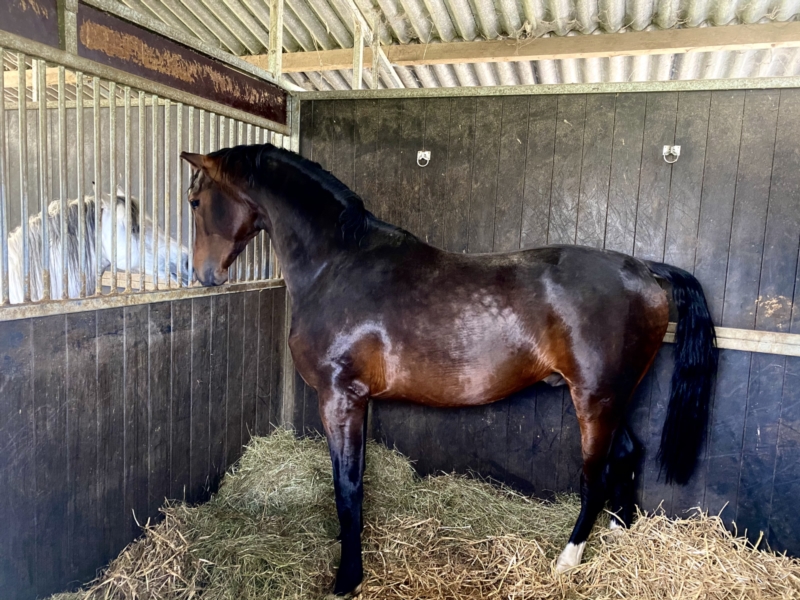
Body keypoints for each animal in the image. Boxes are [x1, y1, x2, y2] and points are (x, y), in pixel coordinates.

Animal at [180, 143, 718, 596]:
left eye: (195, 201)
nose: (204, 274)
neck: (338, 264)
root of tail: (643, 269)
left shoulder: (340, 396)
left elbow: (347, 488)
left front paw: (347, 578)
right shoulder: (360, 400)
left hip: (594, 399)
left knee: (596, 476)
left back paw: (567, 561)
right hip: (612, 398)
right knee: (628, 453)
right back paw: (619, 532)